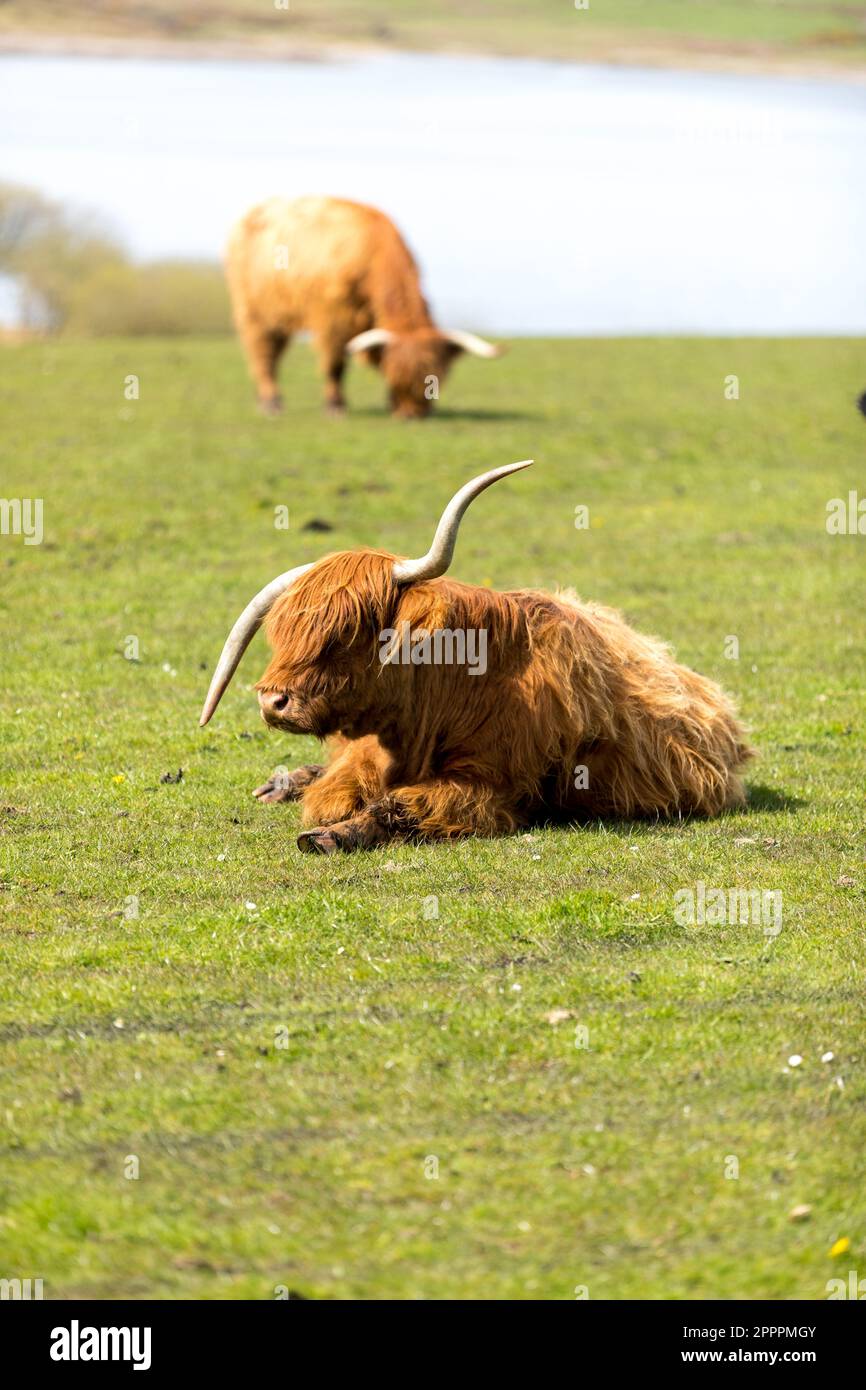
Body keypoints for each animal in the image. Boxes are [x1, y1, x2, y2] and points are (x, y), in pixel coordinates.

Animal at [200, 462, 753, 853]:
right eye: (286, 633)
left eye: (350, 630)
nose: (273, 701)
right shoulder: (364, 753)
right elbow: (336, 788)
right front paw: (308, 798)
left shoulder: (489, 787)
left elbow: (399, 806)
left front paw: (330, 836)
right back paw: (279, 784)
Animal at [225, 195, 502, 418]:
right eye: (396, 375)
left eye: (435, 376)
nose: (412, 414)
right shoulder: (333, 319)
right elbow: (334, 364)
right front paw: (335, 406)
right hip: (255, 312)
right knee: (263, 355)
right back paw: (271, 402)